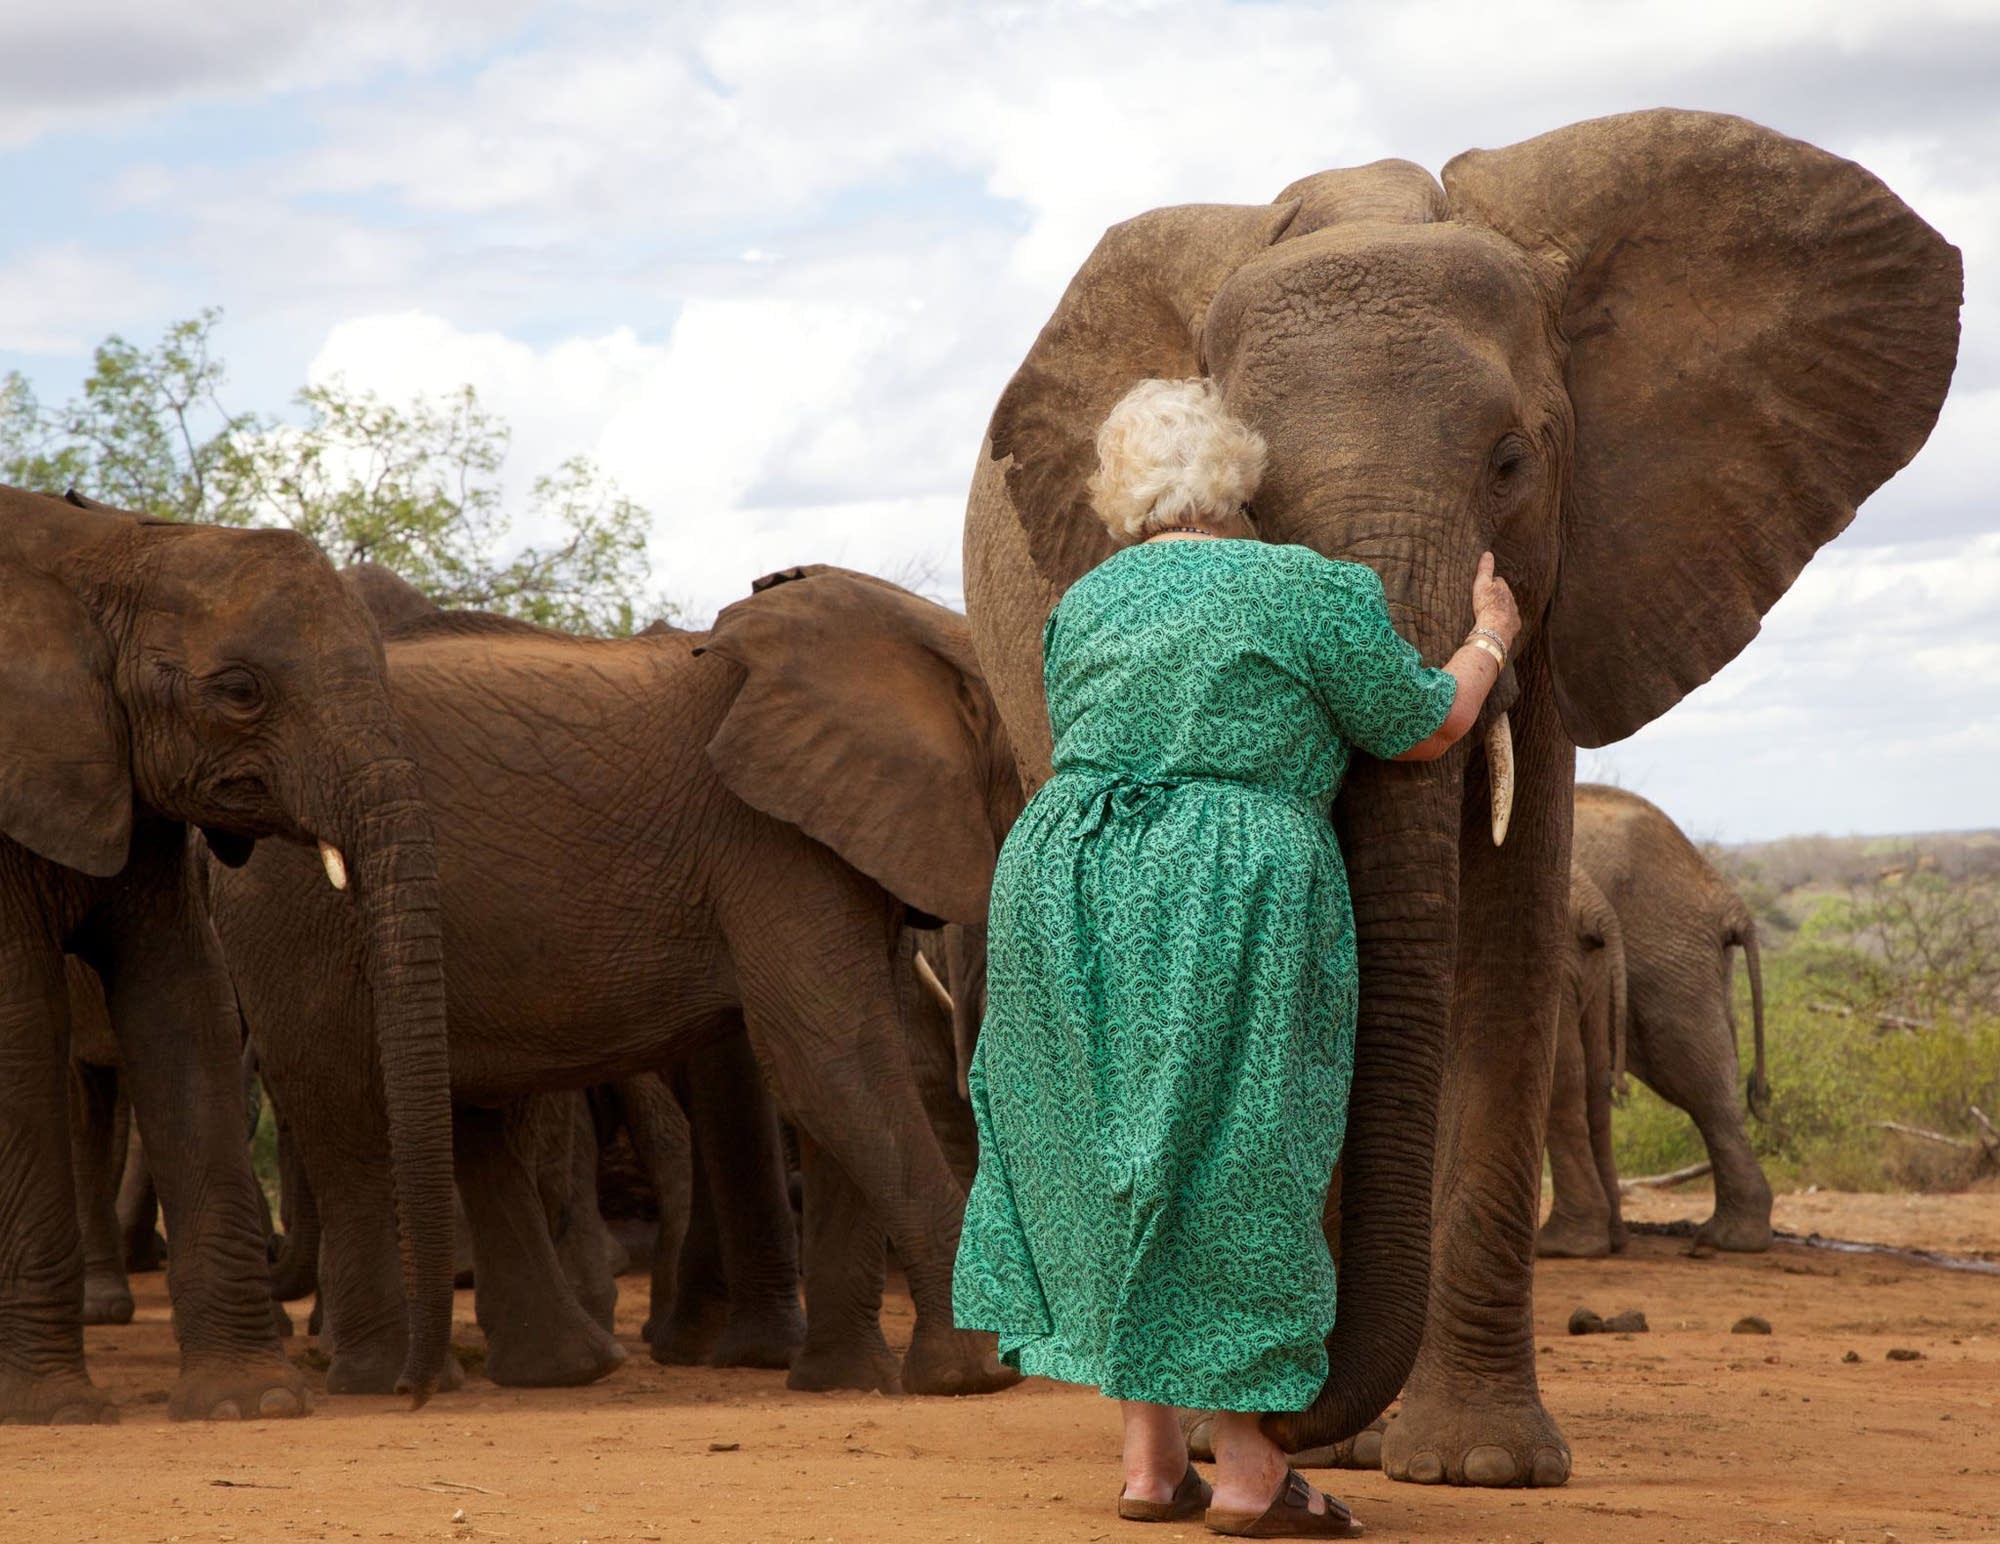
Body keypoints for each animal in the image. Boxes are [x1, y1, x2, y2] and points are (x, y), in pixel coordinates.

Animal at [0, 485, 456, 1423]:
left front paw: (252, 1402)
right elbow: (20, 1022)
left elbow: (184, 1003)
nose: (413, 1393)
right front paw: (57, 1412)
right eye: (240, 692)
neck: (104, 551)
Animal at [209, 562, 1025, 1396]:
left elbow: (853, 1070)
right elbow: (834, 1060)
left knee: (454, 1105)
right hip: (290, 897)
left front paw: (846, 1382)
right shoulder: (771, 844)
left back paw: (543, 1370)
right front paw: (978, 1374)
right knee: (337, 1103)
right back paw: (387, 1381)